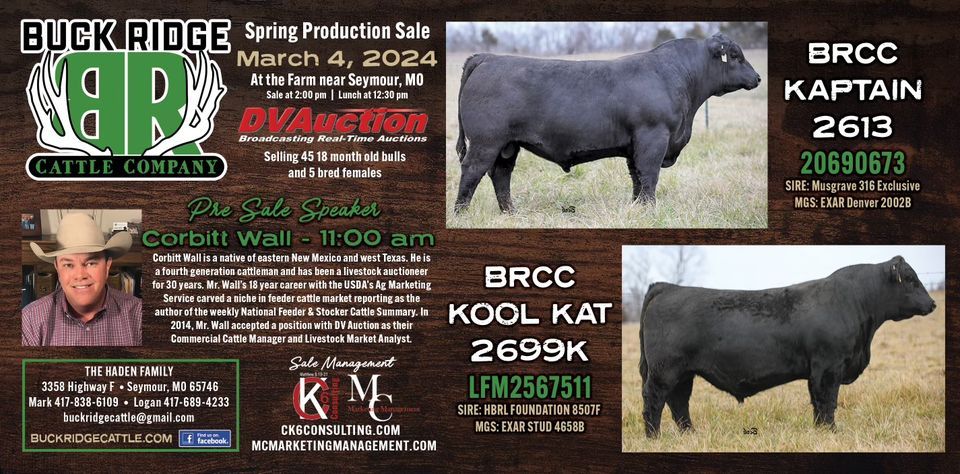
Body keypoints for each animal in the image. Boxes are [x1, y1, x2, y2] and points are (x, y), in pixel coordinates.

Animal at [454, 33, 761, 213]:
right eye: (735, 56)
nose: (757, 77)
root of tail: (487, 58)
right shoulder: (653, 137)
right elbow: (649, 175)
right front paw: (650, 210)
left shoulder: (634, 144)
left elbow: (637, 177)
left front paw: (637, 208)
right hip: (485, 142)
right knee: (472, 172)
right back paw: (461, 213)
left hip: (508, 145)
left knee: (500, 175)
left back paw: (510, 212)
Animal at [638, 256, 937, 438]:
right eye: (911, 279)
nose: (933, 303)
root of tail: (667, 287)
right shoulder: (829, 366)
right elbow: (828, 401)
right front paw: (832, 432)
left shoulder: (818, 371)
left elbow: (817, 403)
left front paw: (820, 432)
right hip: (664, 370)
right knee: (654, 400)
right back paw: (654, 437)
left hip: (683, 373)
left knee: (679, 402)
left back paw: (690, 434)